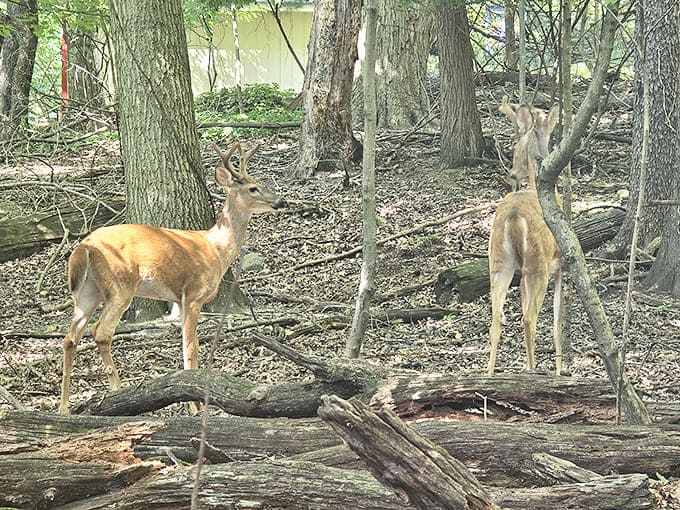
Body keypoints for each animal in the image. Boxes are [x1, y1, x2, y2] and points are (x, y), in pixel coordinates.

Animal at [58, 141, 287, 414]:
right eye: (253, 188)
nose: (281, 200)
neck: (216, 249)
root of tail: (84, 247)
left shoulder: (179, 299)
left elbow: (188, 345)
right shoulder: (194, 293)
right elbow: (190, 347)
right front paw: (195, 407)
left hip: (88, 290)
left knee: (70, 338)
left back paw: (64, 407)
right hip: (120, 284)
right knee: (101, 332)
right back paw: (116, 393)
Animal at [487, 99, 563, 376]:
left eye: (515, 145)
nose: (512, 173)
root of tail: (514, 216)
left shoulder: (522, 275)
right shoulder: (560, 264)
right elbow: (557, 322)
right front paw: (560, 369)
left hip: (500, 262)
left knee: (496, 319)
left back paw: (490, 374)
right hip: (538, 265)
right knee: (530, 318)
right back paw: (532, 371)